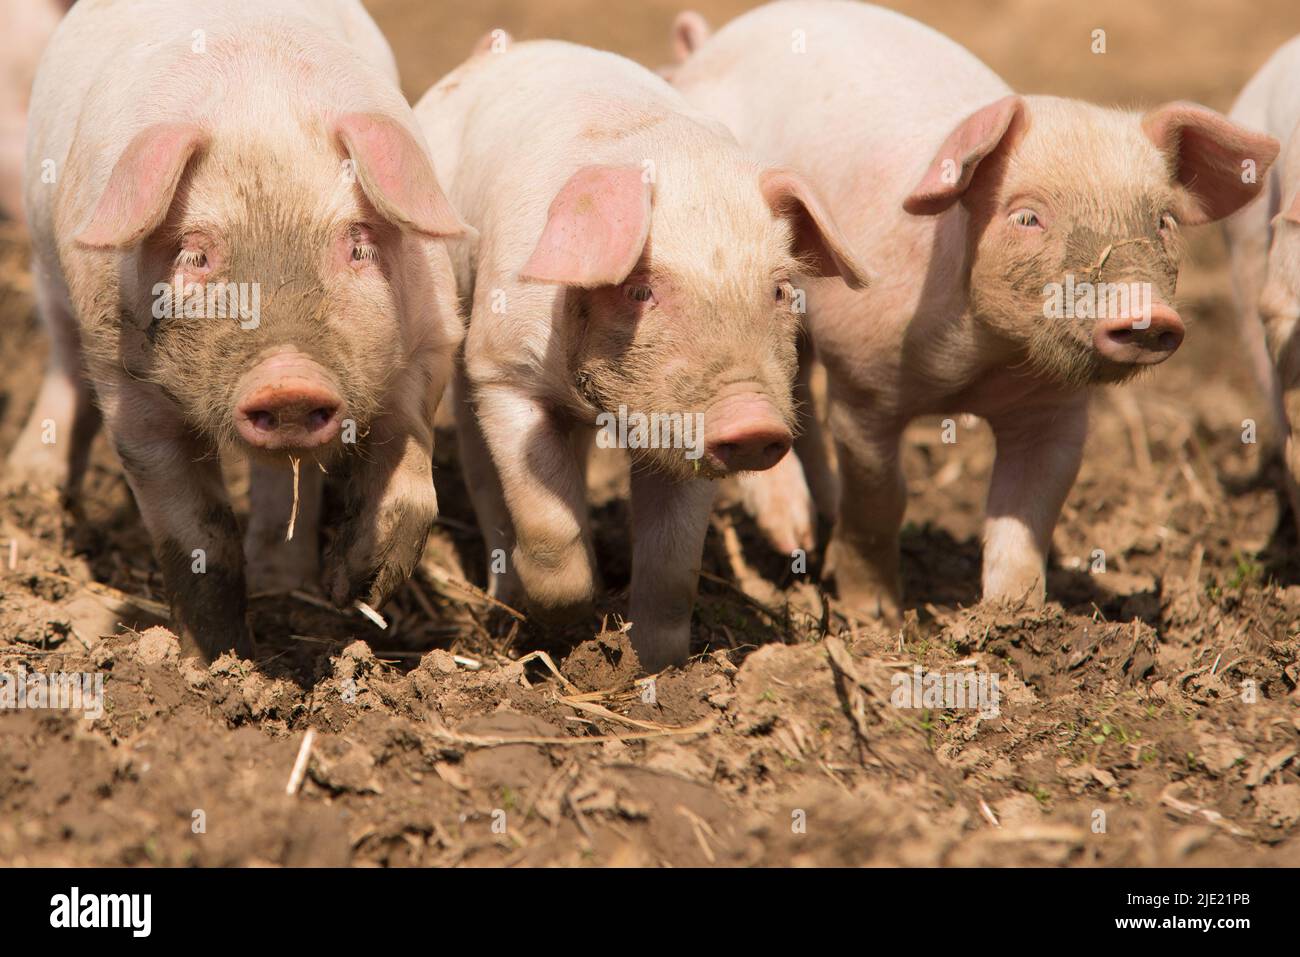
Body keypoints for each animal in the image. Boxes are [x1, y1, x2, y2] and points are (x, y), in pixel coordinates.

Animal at [4, 0, 467, 660]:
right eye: (195, 254)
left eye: (357, 244)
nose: (289, 378)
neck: (259, 106)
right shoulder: (128, 389)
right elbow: (199, 535)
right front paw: (215, 661)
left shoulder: (432, 337)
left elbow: (409, 472)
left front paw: (354, 590)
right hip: (49, 275)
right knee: (64, 366)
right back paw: (29, 486)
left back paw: (285, 580)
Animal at [414, 35, 866, 671]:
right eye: (641, 290)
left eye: (780, 289)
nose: (752, 420)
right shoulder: (505, 369)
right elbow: (547, 524)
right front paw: (570, 615)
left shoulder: (689, 428)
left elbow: (674, 565)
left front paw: (657, 669)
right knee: (484, 474)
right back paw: (506, 604)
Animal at [670, 1, 1278, 621]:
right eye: (1027, 217)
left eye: (1163, 220)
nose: (1145, 309)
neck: (977, 365)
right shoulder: (863, 384)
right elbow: (883, 499)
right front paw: (873, 616)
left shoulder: (1055, 412)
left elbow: (1026, 515)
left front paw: (1016, 617)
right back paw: (793, 535)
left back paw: (812, 530)